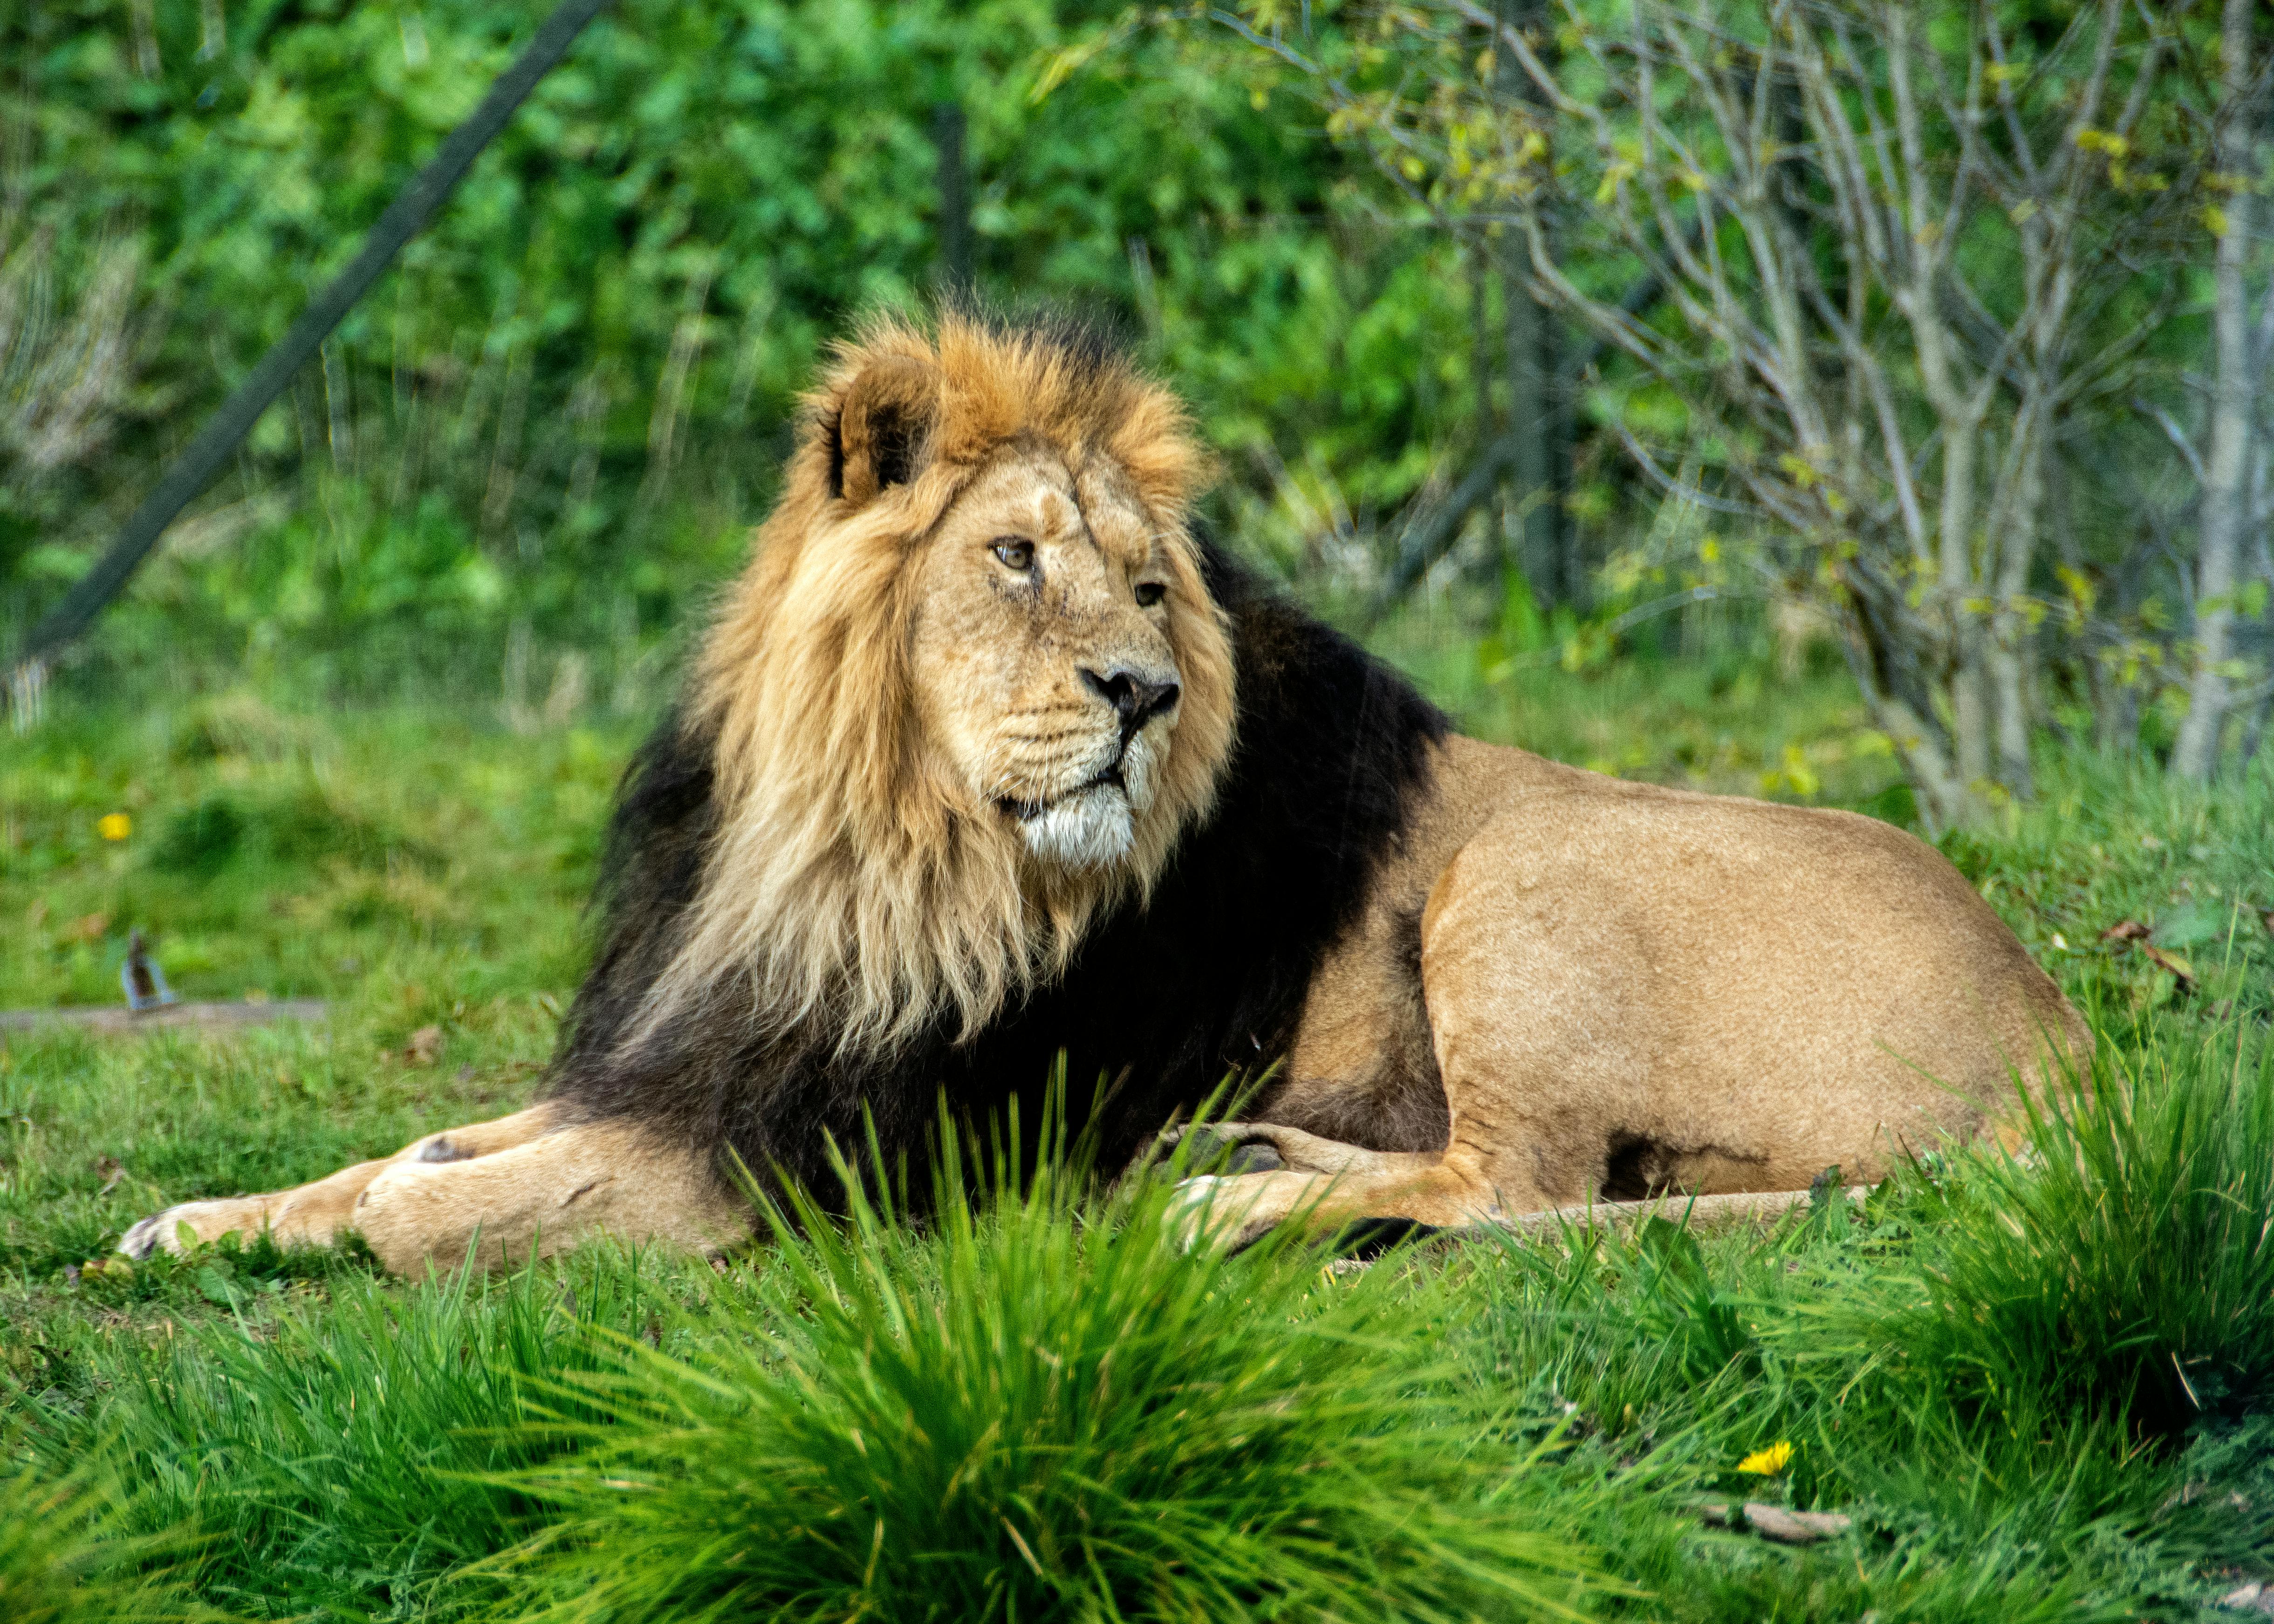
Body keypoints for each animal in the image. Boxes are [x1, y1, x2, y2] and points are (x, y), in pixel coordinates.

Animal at [122, 311, 2088, 1272]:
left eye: (1149, 591)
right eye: (1013, 557)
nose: (1141, 693)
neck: (846, 841)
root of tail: (2065, 1041)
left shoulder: (821, 1150)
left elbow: (436, 1207)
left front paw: (337, 1230)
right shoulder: (708, 1056)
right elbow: (411, 1148)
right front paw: (188, 1224)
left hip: (1522, 864)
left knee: (1517, 1187)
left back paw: (1219, 1205)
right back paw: (1247, 1158)